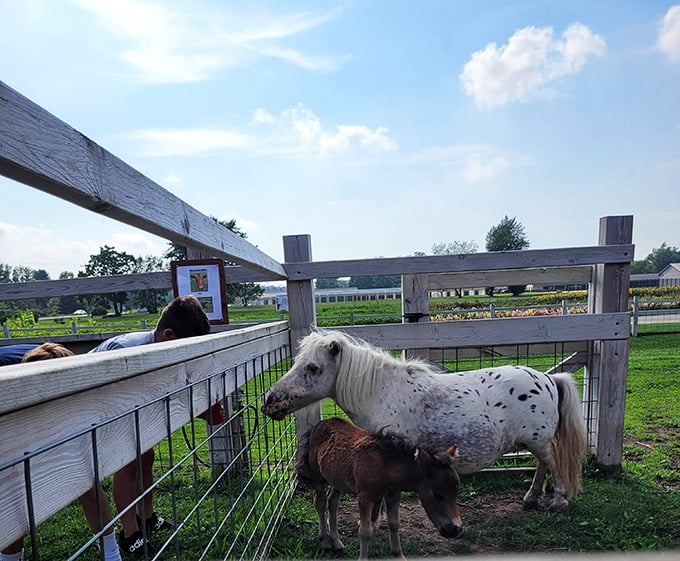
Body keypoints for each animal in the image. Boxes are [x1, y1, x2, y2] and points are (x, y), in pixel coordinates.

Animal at [262, 329, 588, 513]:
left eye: (313, 368)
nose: (269, 400)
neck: (381, 391)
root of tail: (547, 378)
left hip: (539, 440)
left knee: (553, 464)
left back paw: (559, 502)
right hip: (534, 441)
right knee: (543, 465)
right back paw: (531, 499)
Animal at [297, 417, 462, 559]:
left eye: (456, 493)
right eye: (437, 494)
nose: (455, 529)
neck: (386, 467)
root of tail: (318, 425)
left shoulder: (393, 494)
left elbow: (394, 524)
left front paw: (398, 555)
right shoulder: (364, 498)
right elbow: (365, 532)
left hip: (337, 479)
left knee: (332, 502)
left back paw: (337, 542)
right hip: (319, 478)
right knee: (320, 503)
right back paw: (325, 541)